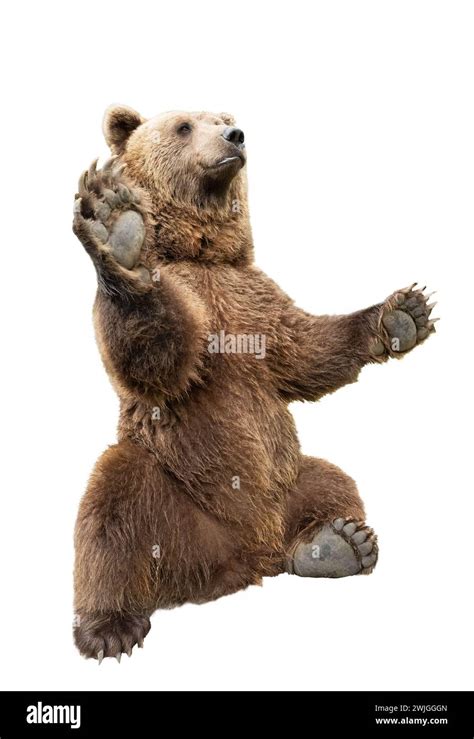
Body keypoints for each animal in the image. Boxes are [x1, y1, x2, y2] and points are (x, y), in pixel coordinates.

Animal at [72, 106, 437, 661]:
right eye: (183, 125)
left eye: (224, 117)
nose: (235, 135)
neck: (202, 253)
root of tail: (243, 559)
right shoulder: (190, 302)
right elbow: (156, 357)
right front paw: (117, 225)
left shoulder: (255, 298)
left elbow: (304, 352)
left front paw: (402, 315)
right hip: (171, 494)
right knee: (112, 505)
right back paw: (109, 627)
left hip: (288, 484)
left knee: (333, 480)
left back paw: (336, 544)